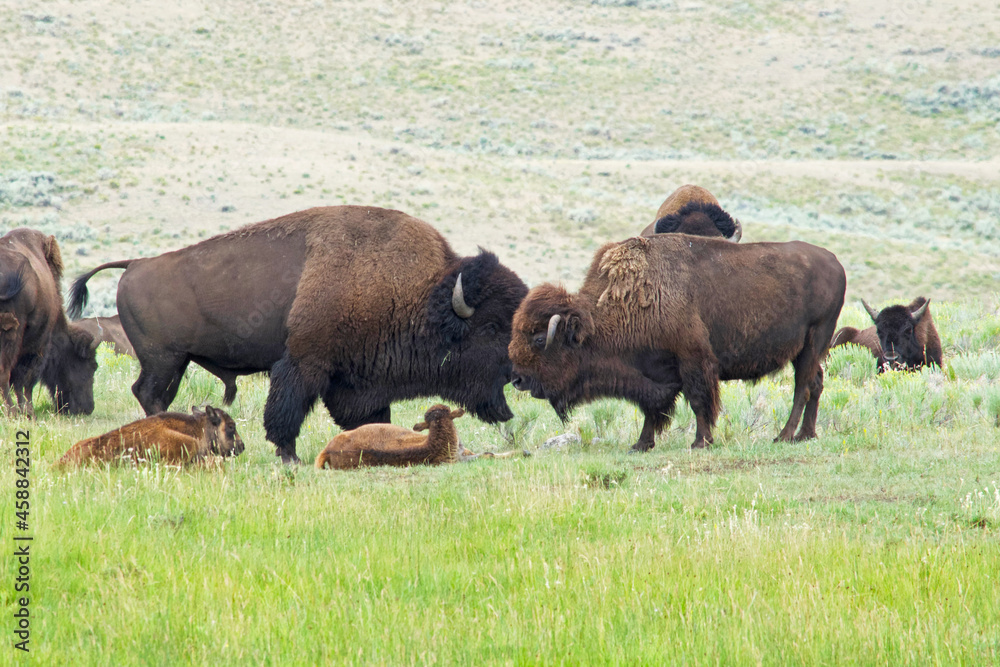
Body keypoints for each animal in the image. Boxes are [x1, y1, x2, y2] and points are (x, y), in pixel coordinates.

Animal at [0, 228, 98, 416]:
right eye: (92, 366)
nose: (87, 408)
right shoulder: (39, 345)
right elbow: (25, 380)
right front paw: (29, 412)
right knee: (5, 372)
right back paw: (12, 412)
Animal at [69, 206, 528, 463]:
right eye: (491, 326)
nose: (518, 372)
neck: (421, 293)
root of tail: (135, 264)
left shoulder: (356, 381)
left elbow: (369, 417)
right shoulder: (304, 364)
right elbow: (285, 412)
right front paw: (287, 456)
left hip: (171, 361)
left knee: (150, 393)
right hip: (165, 359)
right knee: (149, 393)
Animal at [509, 234, 846, 451]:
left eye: (538, 338)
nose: (517, 379)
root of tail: (835, 263)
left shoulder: (693, 360)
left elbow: (698, 401)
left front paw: (701, 442)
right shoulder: (653, 375)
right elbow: (651, 408)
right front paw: (641, 444)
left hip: (813, 340)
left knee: (802, 387)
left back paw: (784, 436)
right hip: (808, 350)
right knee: (816, 383)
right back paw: (806, 435)